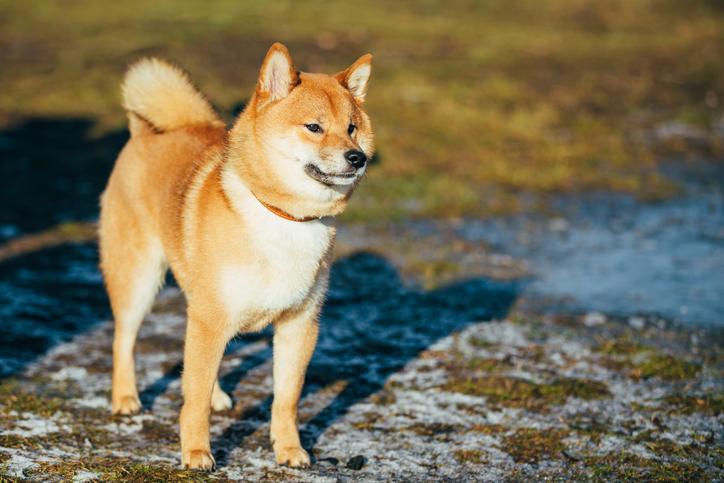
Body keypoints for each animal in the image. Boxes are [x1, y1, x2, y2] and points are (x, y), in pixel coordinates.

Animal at [99, 42, 374, 470]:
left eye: (351, 128)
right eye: (313, 127)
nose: (357, 157)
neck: (286, 218)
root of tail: (144, 132)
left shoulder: (298, 325)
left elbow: (286, 399)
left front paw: (289, 449)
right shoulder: (212, 318)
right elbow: (193, 402)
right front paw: (197, 453)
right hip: (140, 281)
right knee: (124, 339)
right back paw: (126, 398)